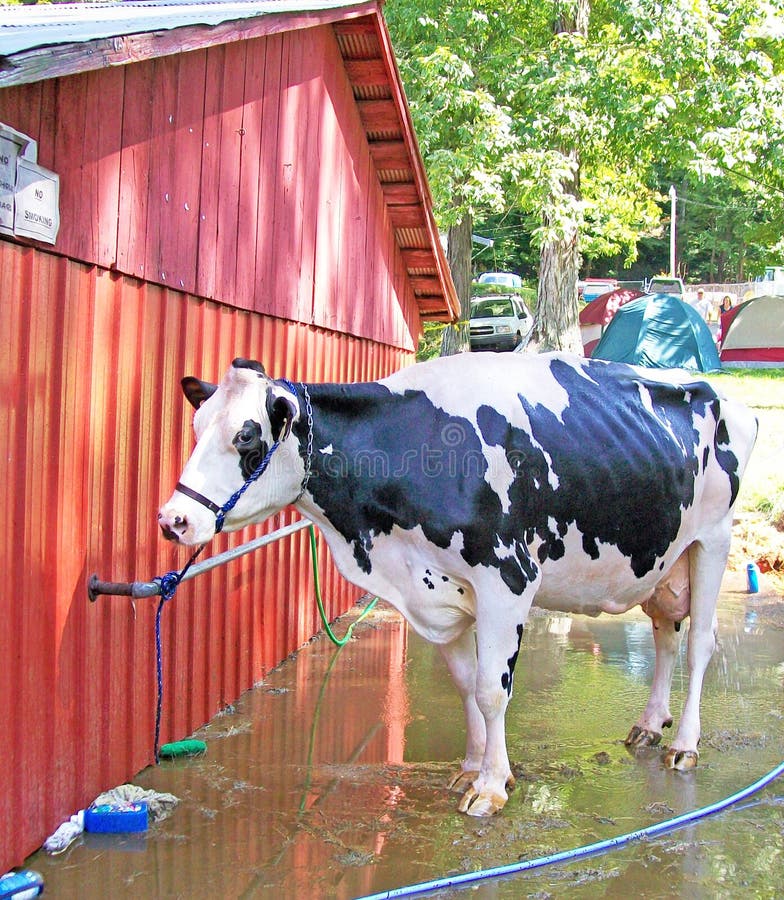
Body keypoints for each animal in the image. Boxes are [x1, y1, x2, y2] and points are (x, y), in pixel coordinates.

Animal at [159, 353, 757, 817]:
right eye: (195, 428)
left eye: (246, 436)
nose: (173, 520)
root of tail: (726, 395)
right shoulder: (437, 593)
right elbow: (467, 684)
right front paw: (471, 767)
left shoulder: (507, 579)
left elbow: (493, 690)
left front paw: (491, 787)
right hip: (664, 559)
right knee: (665, 635)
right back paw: (649, 725)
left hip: (713, 539)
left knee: (700, 644)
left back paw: (684, 745)